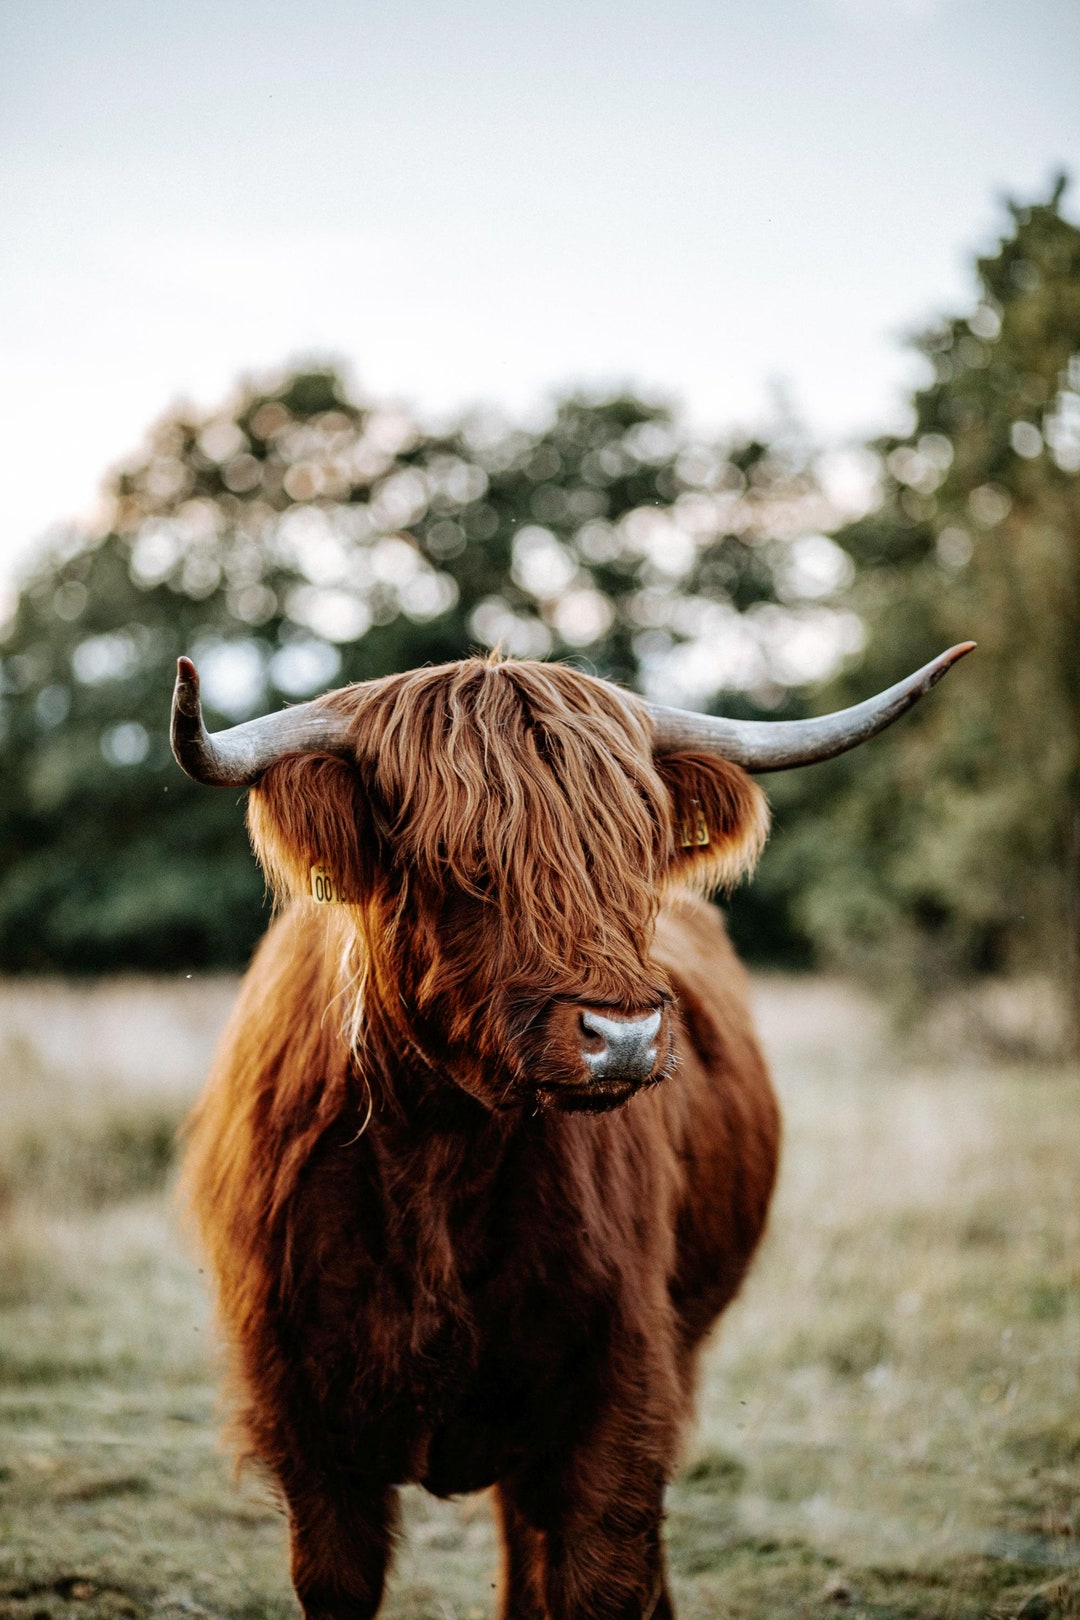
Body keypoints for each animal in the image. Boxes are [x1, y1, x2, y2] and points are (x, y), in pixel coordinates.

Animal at [172, 643, 972, 1620]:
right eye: (459, 859)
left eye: (639, 852)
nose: (623, 1034)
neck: (440, 1155)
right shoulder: (309, 1424)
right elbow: (339, 1580)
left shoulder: (619, 1392)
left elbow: (601, 1576)